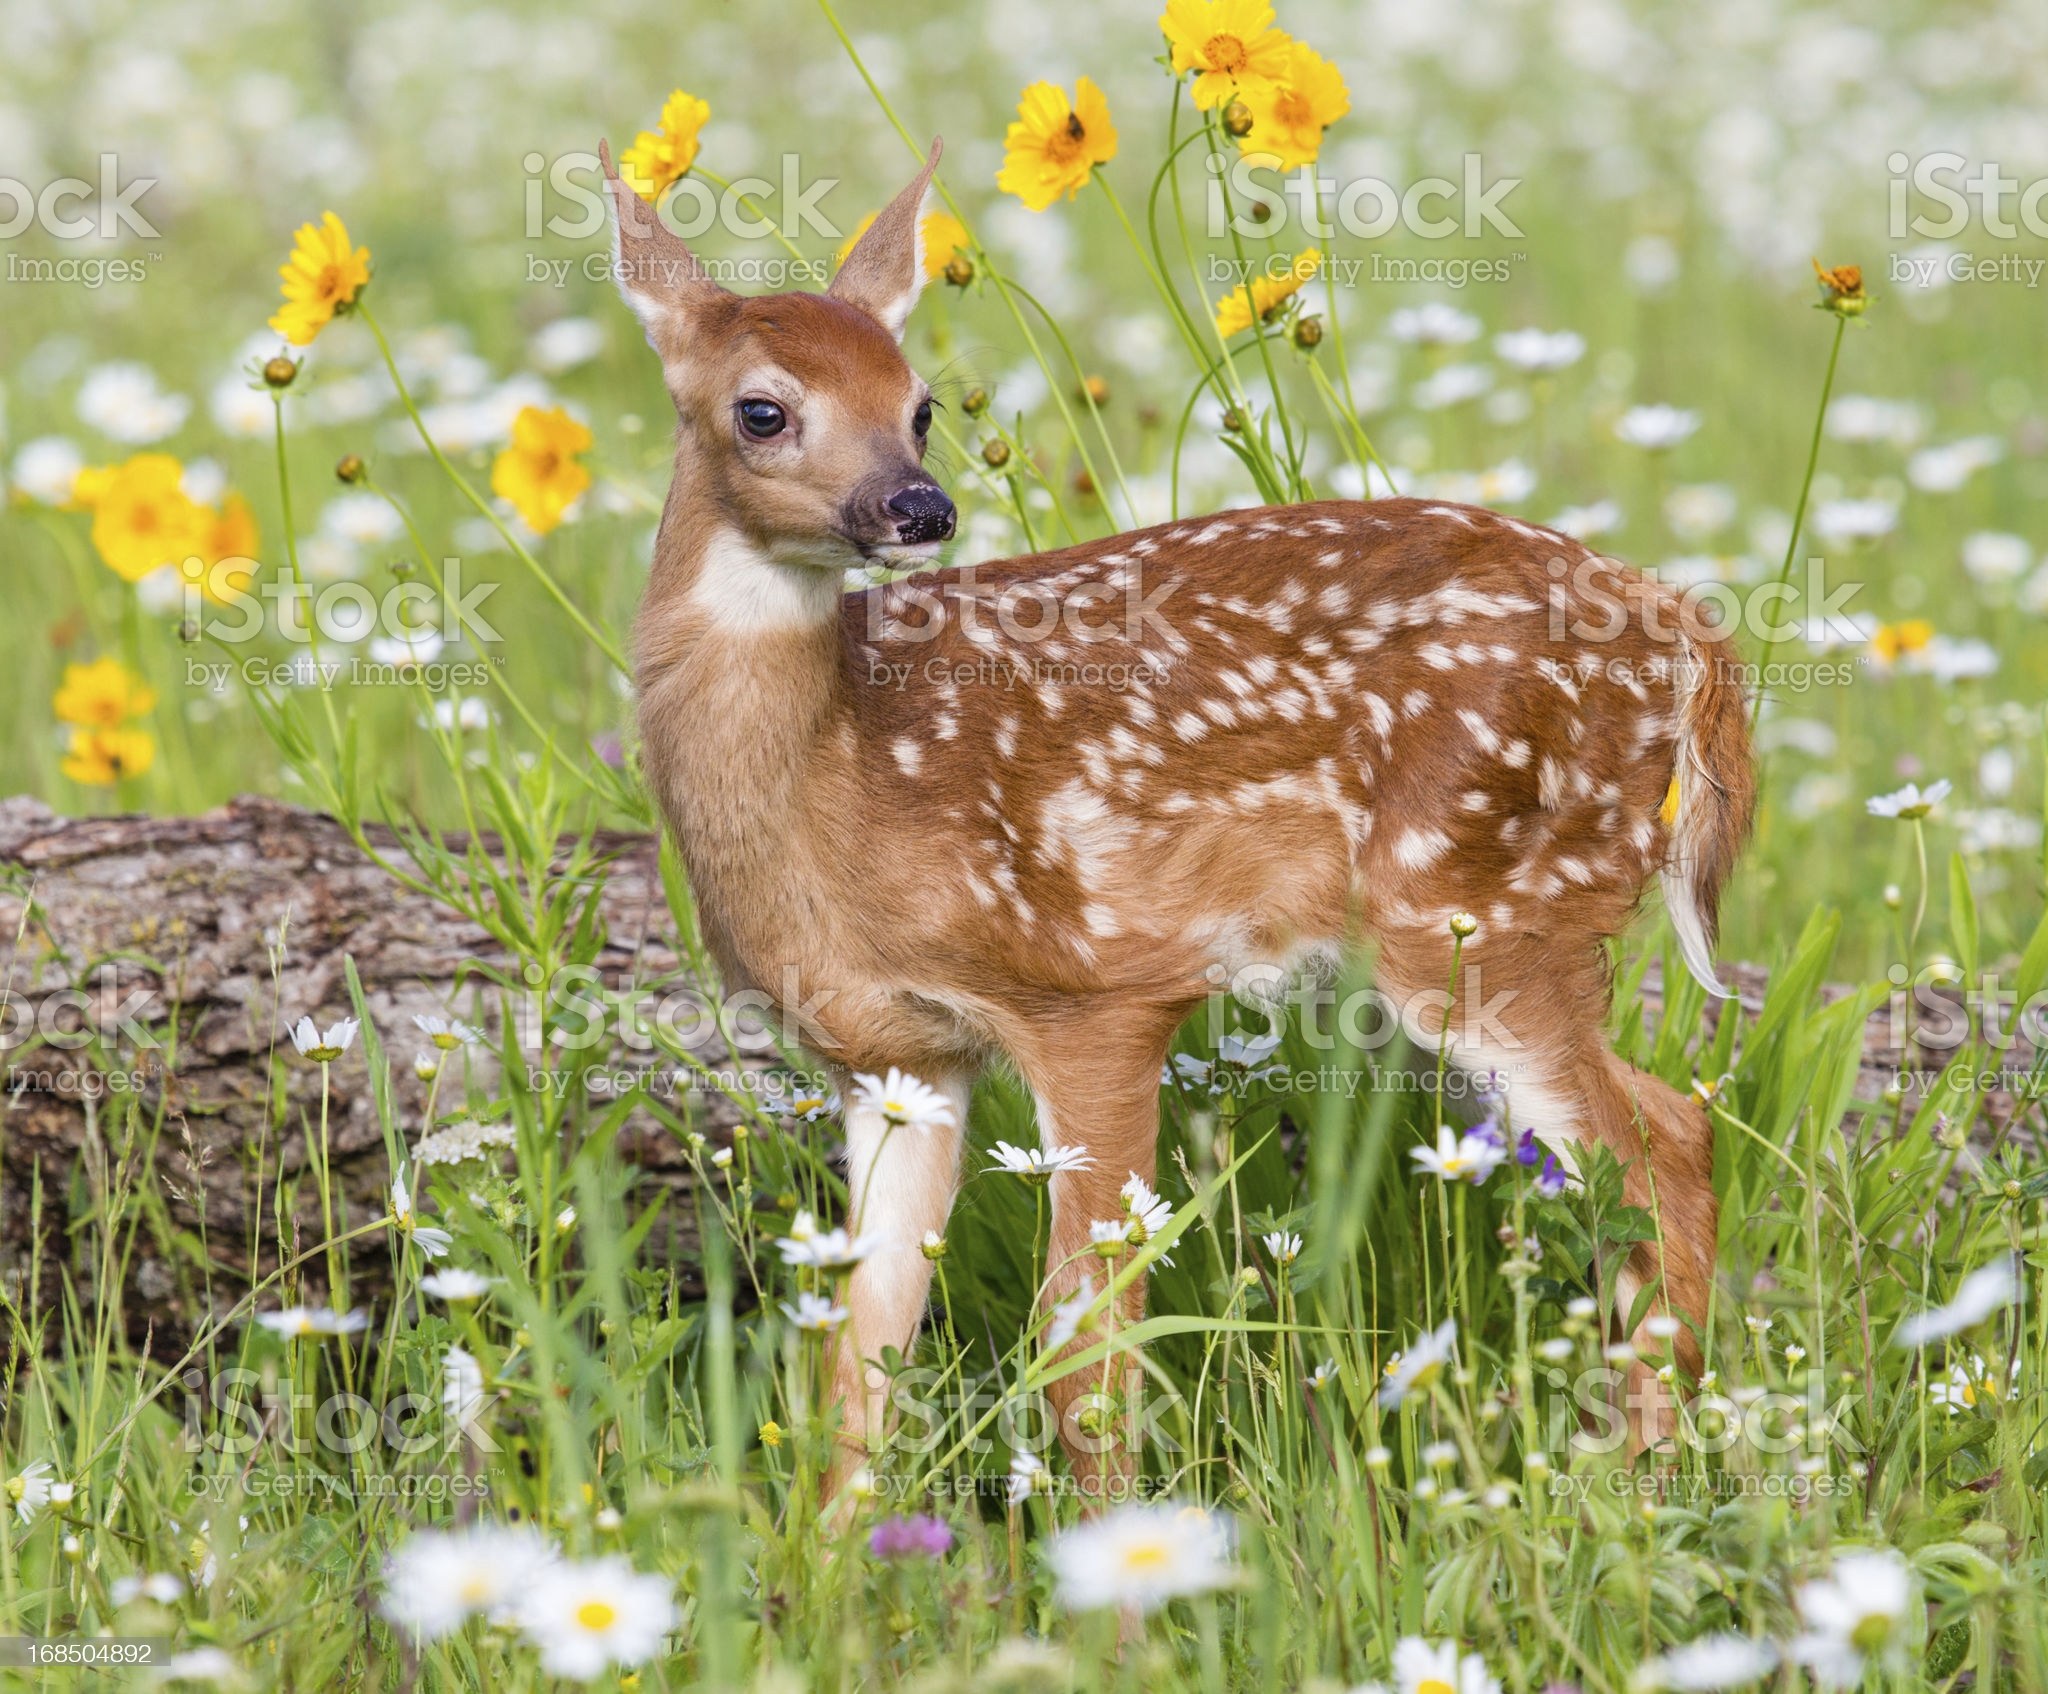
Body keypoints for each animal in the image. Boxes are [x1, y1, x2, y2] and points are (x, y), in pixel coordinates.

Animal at [600, 135, 1755, 1492]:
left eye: (919, 400)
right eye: (762, 409)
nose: (918, 506)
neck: (841, 781)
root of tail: (1675, 619)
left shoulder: (1095, 987)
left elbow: (1082, 1351)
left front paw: (1116, 1546)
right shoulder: (896, 1055)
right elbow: (859, 1357)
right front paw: (833, 1548)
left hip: (1482, 905)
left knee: (1661, 1147)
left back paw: (1642, 1480)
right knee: (1669, 1129)